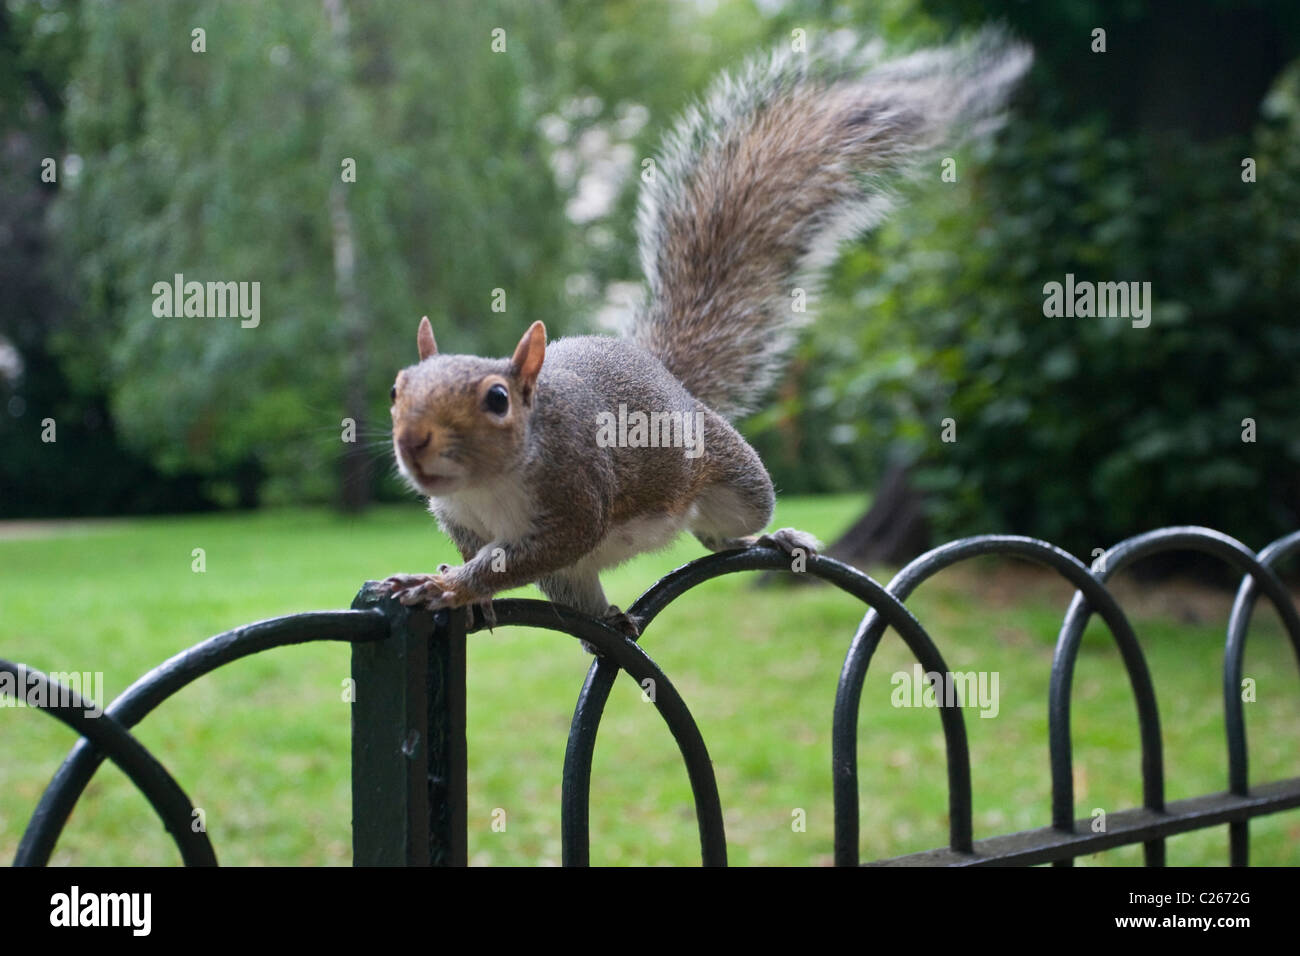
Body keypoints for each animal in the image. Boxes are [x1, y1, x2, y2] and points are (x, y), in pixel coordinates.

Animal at [379, 30, 1031, 643]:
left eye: (497, 400)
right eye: (396, 390)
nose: (413, 441)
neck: (493, 481)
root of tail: (665, 373)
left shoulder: (576, 495)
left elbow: (529, 552)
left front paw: (451, 586)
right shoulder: (460, 516)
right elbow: (487, 555)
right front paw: (460, 585)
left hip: (735, 475)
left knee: (726, 534)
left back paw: (780, 536)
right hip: (585, 574)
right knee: (594, 595)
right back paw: (610, 622)